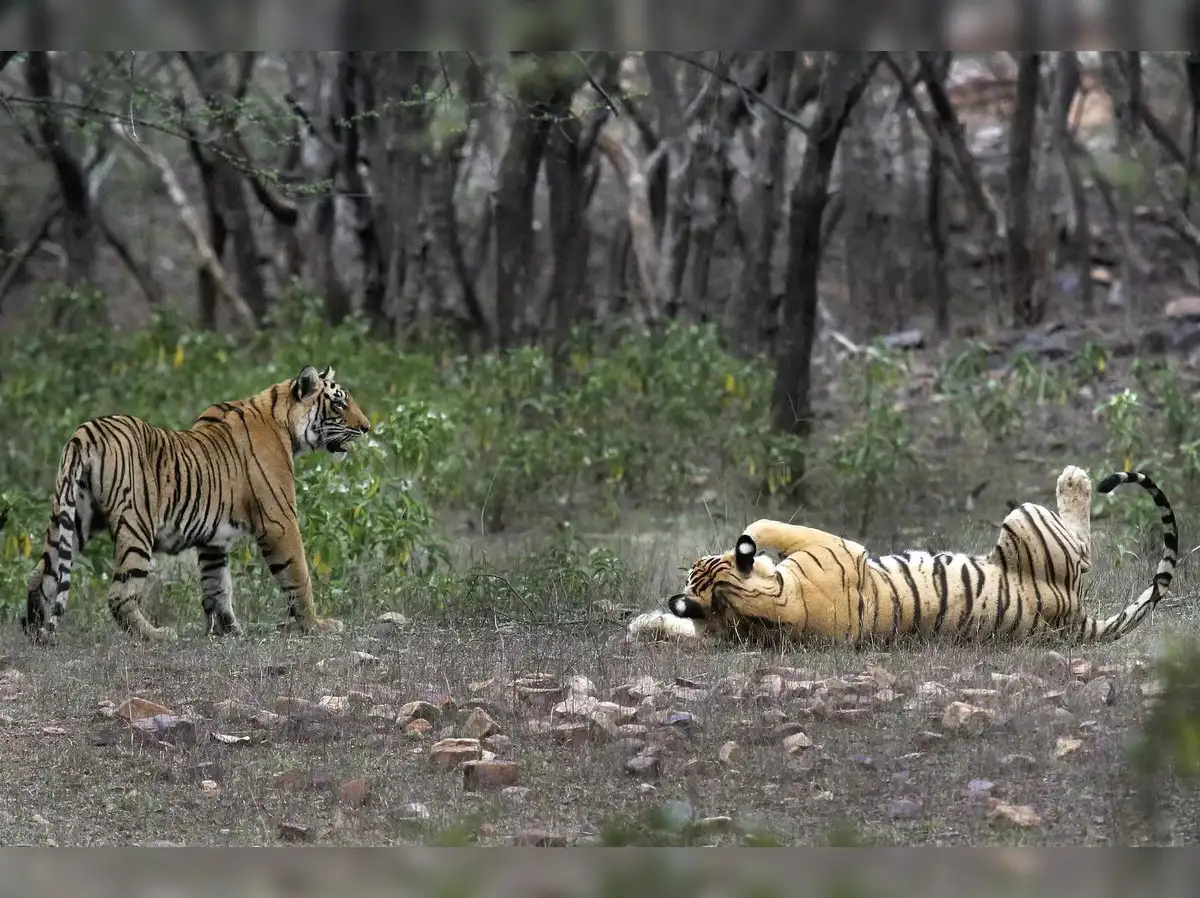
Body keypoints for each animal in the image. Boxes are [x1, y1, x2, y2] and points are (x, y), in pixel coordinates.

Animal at [21, 365, 370, 644]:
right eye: (339, 402)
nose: (366, 427)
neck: (284, 423)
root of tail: (86, 432)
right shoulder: (279, 521)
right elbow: (299, 575)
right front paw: (316, 625)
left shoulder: (213, 540)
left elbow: (217, 586)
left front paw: (227, 631)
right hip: (135, 525)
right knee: (120, 594)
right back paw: (157, 635)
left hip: (74, 518)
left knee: (41, 575)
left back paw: (34, 631)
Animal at [627, 465, 1178, 647]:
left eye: (695, 568)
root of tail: (1075, 617)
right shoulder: (833, 545)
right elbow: (764, 526)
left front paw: (644, 624)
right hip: (1025, 519)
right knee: (1083, 546)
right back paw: (1075, 479)